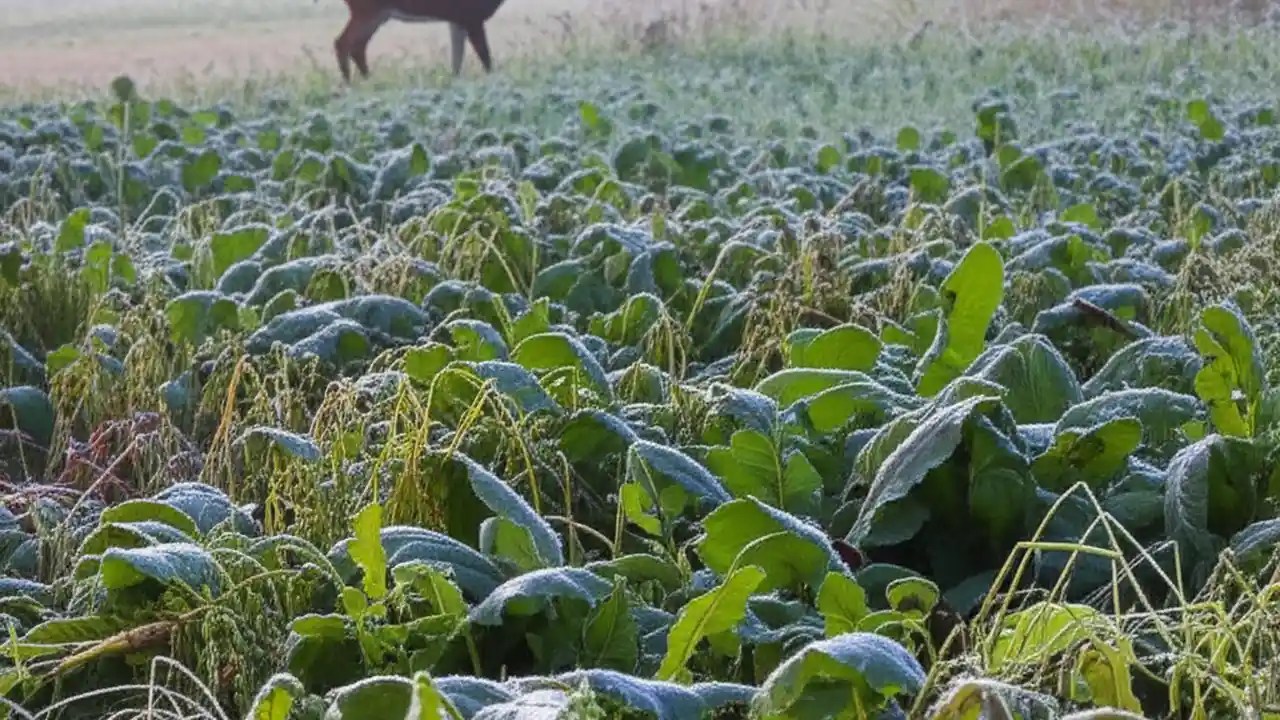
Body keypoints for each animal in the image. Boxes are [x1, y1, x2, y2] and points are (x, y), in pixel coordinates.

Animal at [333, 0, 508, 82]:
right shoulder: (472, 17)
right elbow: (485, 57)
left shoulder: (457, 20)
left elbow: (457, 60)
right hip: (367, 11)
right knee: (343, 43)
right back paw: (352, 84)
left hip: (375, 14)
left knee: (355, 46)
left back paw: (367, 80)